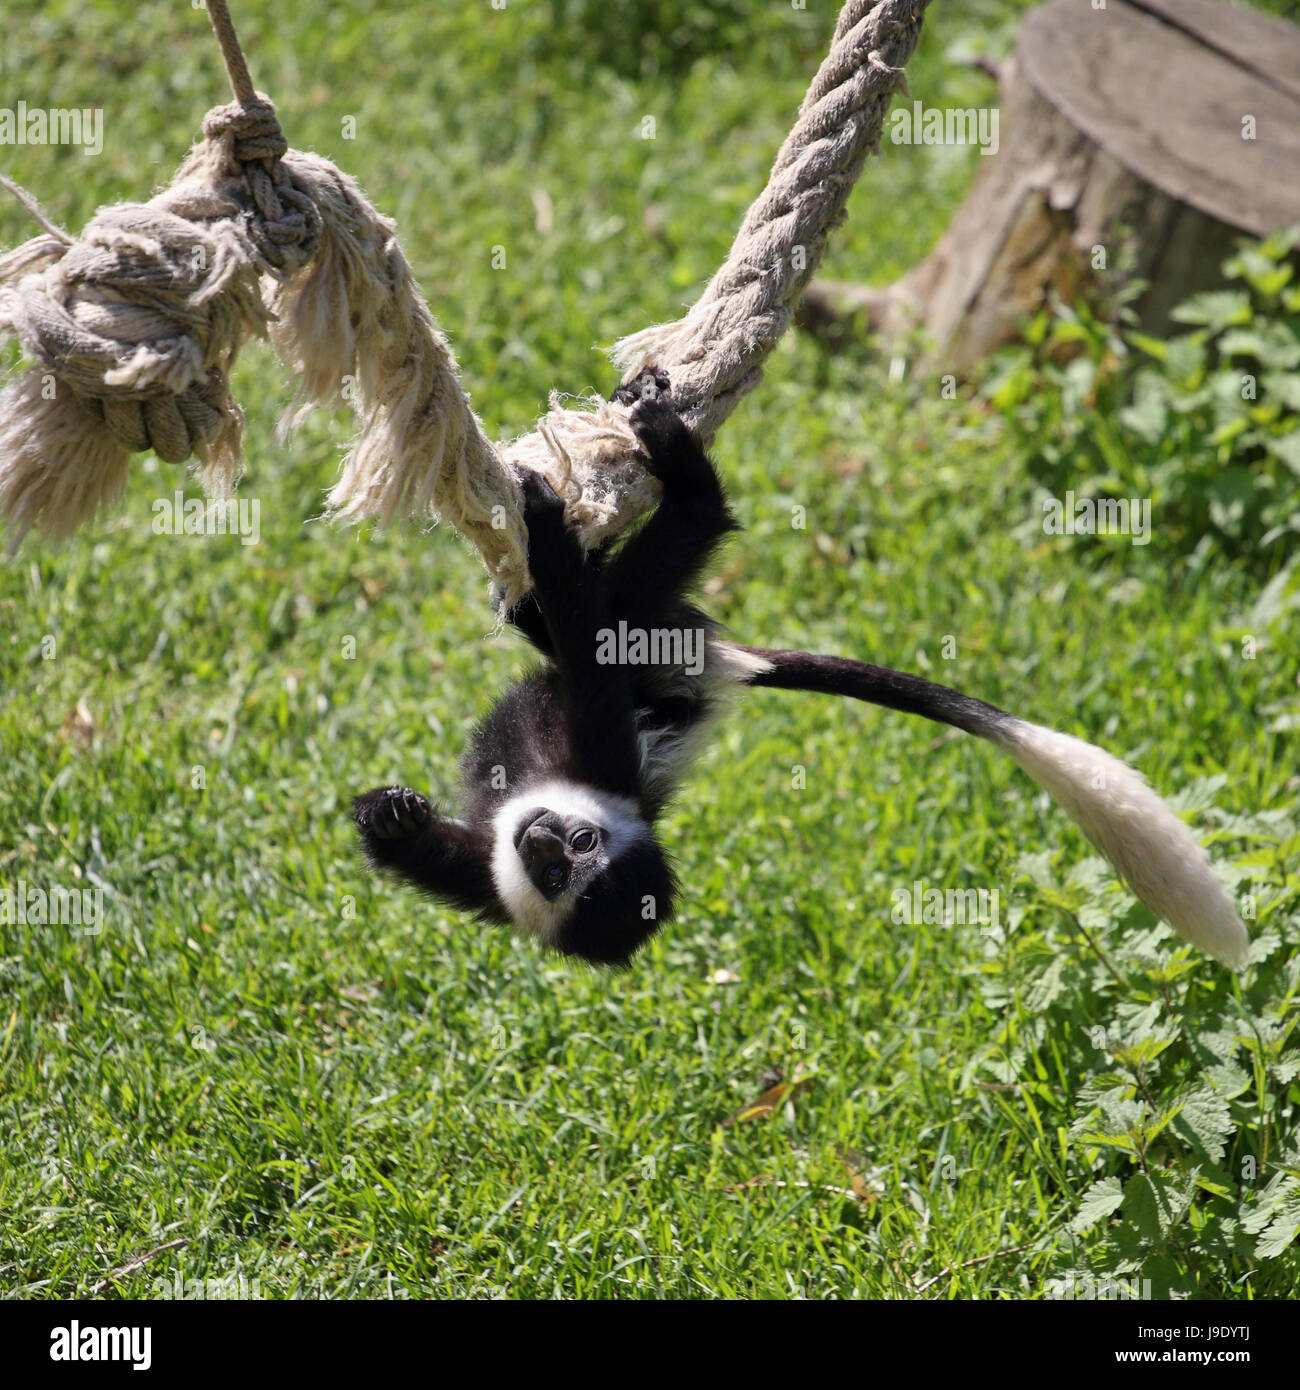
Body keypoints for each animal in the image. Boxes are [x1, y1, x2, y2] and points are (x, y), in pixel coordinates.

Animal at [353, 369, 1249, 972]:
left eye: (569, 862)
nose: (541, 837)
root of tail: (731, 665)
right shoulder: (505, 864)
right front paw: (391, 815)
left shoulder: (575, 794)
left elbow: (589, 653)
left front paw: (542, 515)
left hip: (660, 628)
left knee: (657, 559)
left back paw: (648, 474)